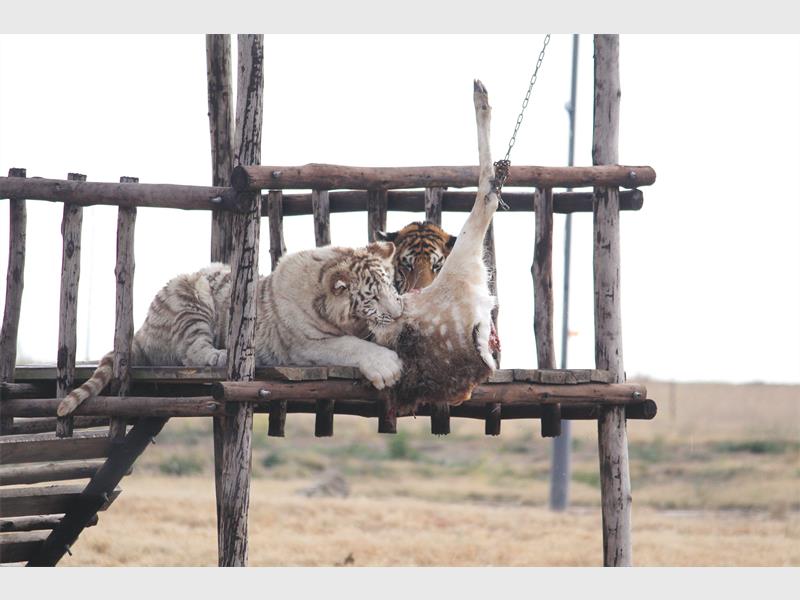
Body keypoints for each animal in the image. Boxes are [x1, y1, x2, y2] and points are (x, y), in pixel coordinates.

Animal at [57, 242, 404, 417]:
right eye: (372, 296)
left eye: (391, 287)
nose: (398, 314)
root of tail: (140, 330)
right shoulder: (308, 344)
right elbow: (351, 346)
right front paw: (388, 368)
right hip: (189, 295)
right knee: (192, 353)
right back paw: (226, 356)